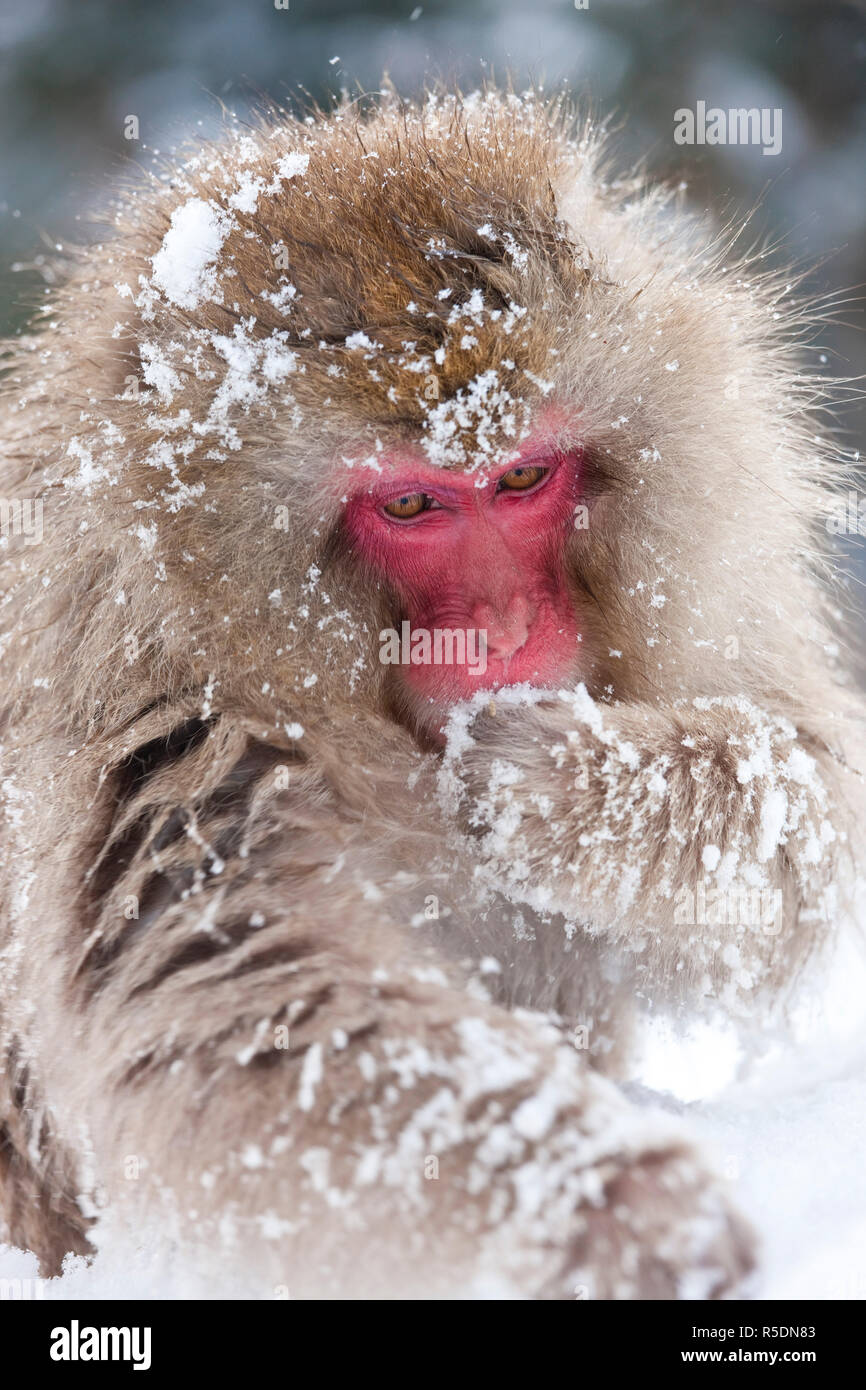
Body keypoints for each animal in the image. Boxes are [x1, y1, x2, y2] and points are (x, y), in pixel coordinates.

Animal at [0, 86, 861, 1299]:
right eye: (410, 504)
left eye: (520, 477)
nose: (499, 629)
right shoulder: (157, 707)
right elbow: (238, 996)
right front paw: (624, 1210)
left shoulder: (702, 602)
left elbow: (807, 786)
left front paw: (564, 786)